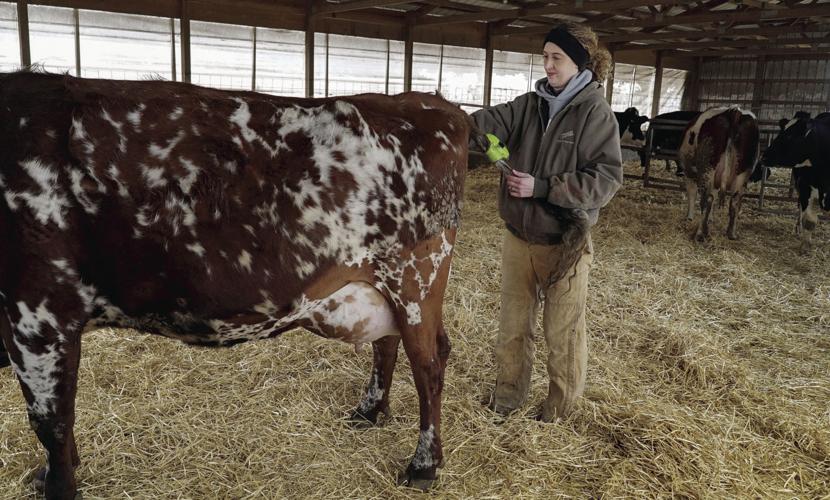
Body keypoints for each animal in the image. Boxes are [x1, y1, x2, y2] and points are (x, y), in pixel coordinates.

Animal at [0, 70, 481, 498]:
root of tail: (426, 101)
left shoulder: (39, 311)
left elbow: (50, 418)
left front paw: (59, 484)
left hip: (416, 275)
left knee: (430, 362)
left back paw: (423, 465)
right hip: (379, 284)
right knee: (387, 343)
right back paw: (370, 411)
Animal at [678, 106, 760, 241]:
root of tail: (734, 111)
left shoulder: (689, 172)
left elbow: (692, 193)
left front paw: (689, 217)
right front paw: (710, 219)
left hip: (707, 166)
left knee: (707, 199)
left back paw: (700, 233)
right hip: (743, 172)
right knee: (735, 200)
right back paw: (731, 233)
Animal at [762, 112, 830, 246]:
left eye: (789, 136)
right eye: (781, 132)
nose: (764, 156)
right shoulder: (805, 187)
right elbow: (809, 221)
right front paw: (805, 244)